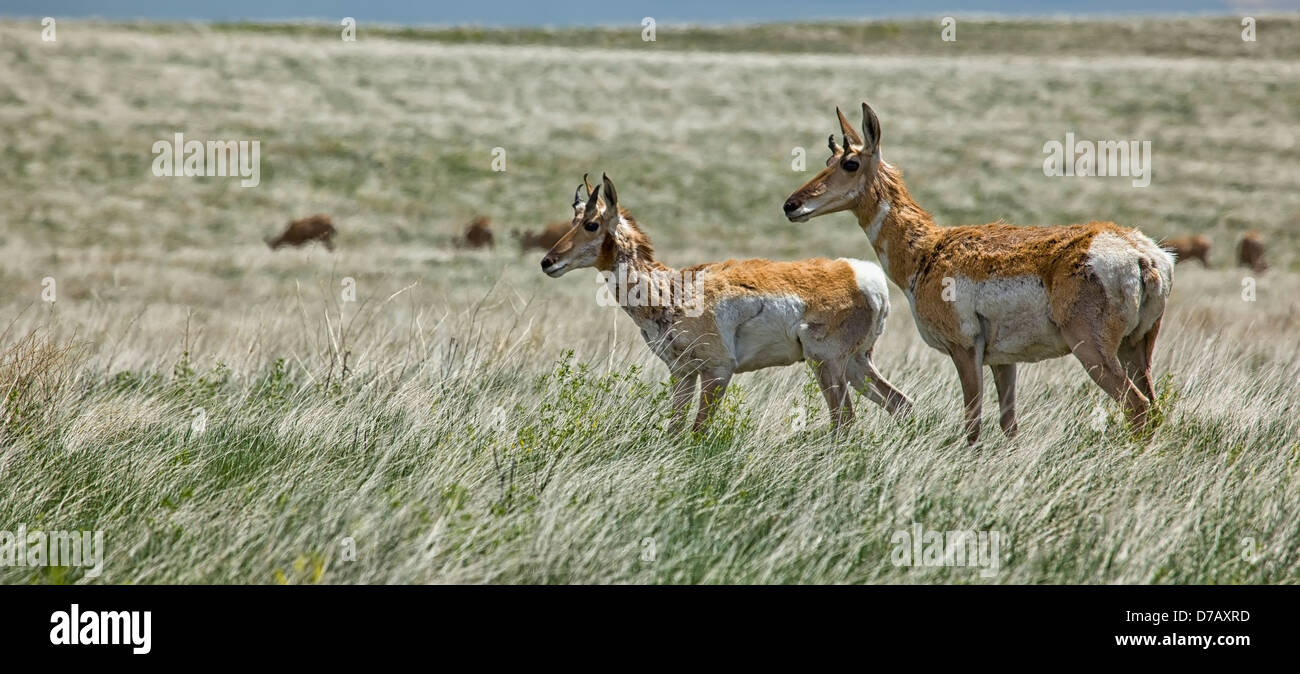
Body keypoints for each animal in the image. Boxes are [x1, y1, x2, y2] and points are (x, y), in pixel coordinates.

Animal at [542, 173, 912, 433]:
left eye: (591, 224)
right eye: (573, 221)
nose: (548, 261)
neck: (672, 288)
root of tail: (863, 275)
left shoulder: (718, 372)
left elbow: (697, 431)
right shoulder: (682, 373)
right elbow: (675, 431)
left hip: (827, 363)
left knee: (845, 422)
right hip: (856, 365)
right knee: (901, 403)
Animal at [783, 103, 1174, 445]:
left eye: (850, 163)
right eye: (828, 160)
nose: (791, 205)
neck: (928, 251)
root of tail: (1144, 255)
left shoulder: (965, 349)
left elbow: (973, 427)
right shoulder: (1003, 362)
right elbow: (1009, 425)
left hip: (1092, 350)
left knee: (1137, 407)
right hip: (1136, 348)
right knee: (1153, 409)